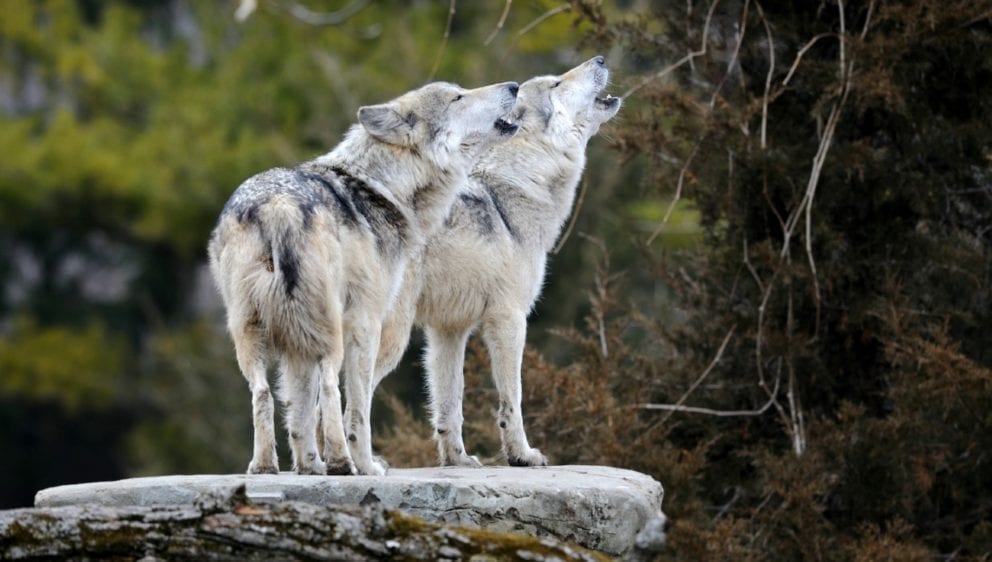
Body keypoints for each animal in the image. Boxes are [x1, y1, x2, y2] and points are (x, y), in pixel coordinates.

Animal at [208, 80, 519, 476]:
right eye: (457, 97)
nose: (514, 86)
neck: (383, 187)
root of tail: (279, 205)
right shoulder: (366, 322)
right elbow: (357, 410)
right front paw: (365, 464)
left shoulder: (297, 345)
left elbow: (300, 415)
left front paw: (309, 466)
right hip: (330, 331)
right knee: (330, 388)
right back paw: (344, 464)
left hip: (253, 333)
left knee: (263, 394)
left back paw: (265, 467)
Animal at [373, 56, 622, 467]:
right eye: (556, 84)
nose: (601, 58)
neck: (517, 187)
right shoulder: (509, 319)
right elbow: (512, 400)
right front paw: (522, 455)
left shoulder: (448, 331)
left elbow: (449, 404)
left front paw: (457, 460)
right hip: (391, 338)